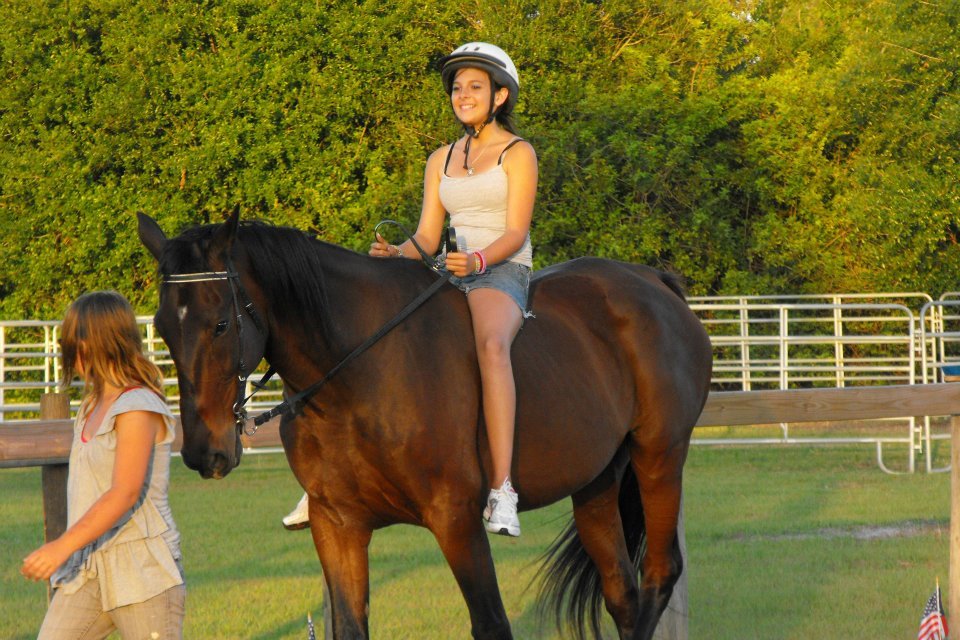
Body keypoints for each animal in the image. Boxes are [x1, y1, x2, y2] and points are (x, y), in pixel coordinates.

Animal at [137, 210, 712, 640]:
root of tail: (651, 281)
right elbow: (350, 626)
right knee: (622, 592)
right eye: (162, 327)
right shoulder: (338, 526)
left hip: (659, 456)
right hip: (596, 482)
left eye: (220, 324)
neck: (361, 375)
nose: (204, 452)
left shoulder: (456, 520)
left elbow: (492, 625)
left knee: (660, 573)